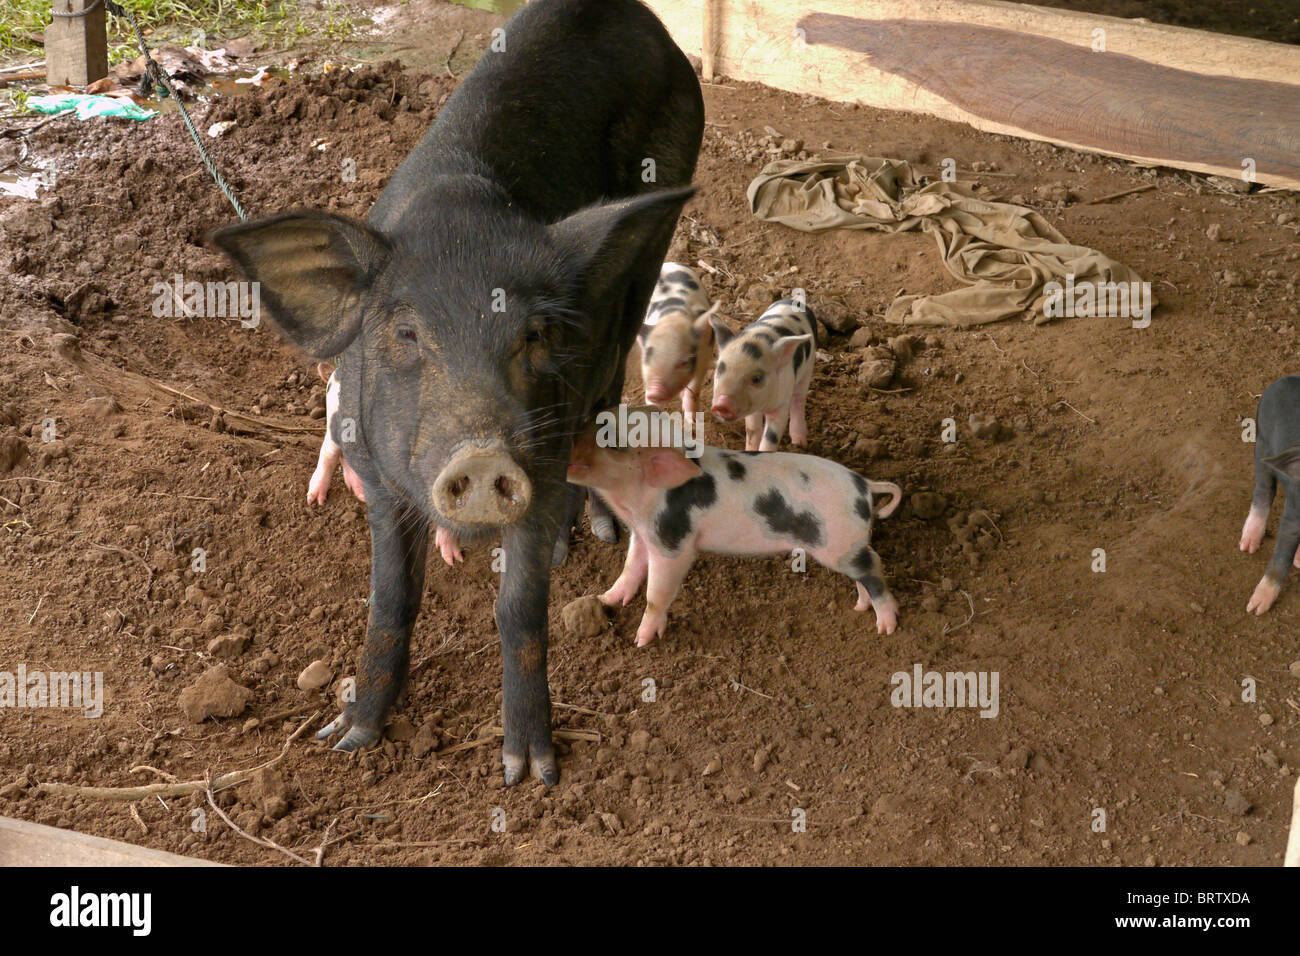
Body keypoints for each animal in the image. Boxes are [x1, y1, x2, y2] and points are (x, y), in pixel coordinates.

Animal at [567, 414, 902, 644]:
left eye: (612, 443)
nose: (566, 455)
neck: (633, 501)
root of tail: (865, 486)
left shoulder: (674, 541)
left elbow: (656, 592)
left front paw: (641, 640)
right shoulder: (643, 532)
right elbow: (631, 566)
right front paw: (606, 599)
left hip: (838, 544)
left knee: (874, 566)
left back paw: (886, 627)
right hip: (847, 544)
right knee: (863, 572)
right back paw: (859, 608)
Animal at [637, 262, 716, 417]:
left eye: (684, 362)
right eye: (647, 358)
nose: (654, 393)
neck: (673, 316)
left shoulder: (706, 352)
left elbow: (694, 387)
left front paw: (692, 419)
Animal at [711, 298, 817, 451]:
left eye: (756, 379)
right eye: (720, 369)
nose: (722, 404)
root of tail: (794, 300)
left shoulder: (781, 405)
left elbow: (771, 437)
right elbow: (752, 430)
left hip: (808, 368)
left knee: (799, 399)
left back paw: (799, 443)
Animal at [1239, 374, 1300, 615]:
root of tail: (1284, 379)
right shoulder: (1293, 514)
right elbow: (1281, 557)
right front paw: (1255, 608)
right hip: (1261, 446)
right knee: (1263, 493)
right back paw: (1247, 545)